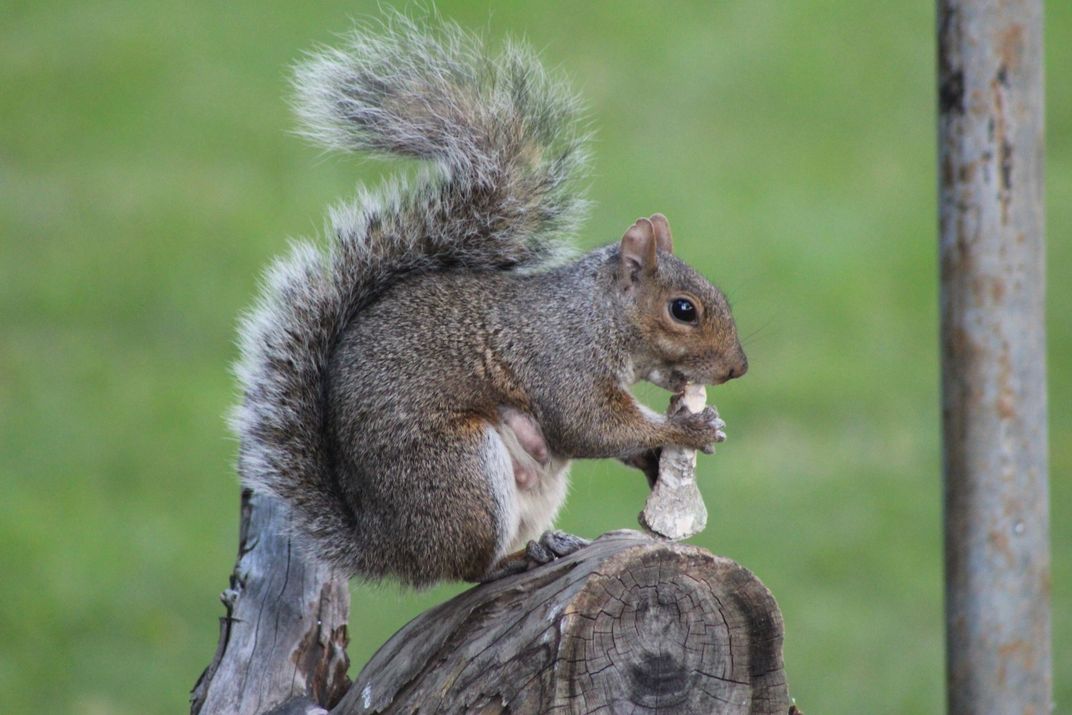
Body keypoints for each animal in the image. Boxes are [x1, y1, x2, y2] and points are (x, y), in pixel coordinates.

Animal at [232, 16, 748, 588]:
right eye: (684, 310)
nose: (738, 368)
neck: (596, 314)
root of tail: (388, 547)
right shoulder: (561, 361)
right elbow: (590, 426)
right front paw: (688, 428)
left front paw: (662, 457)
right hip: (461, 471)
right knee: (469, 567)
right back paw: (515, 558)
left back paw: (549, 543)